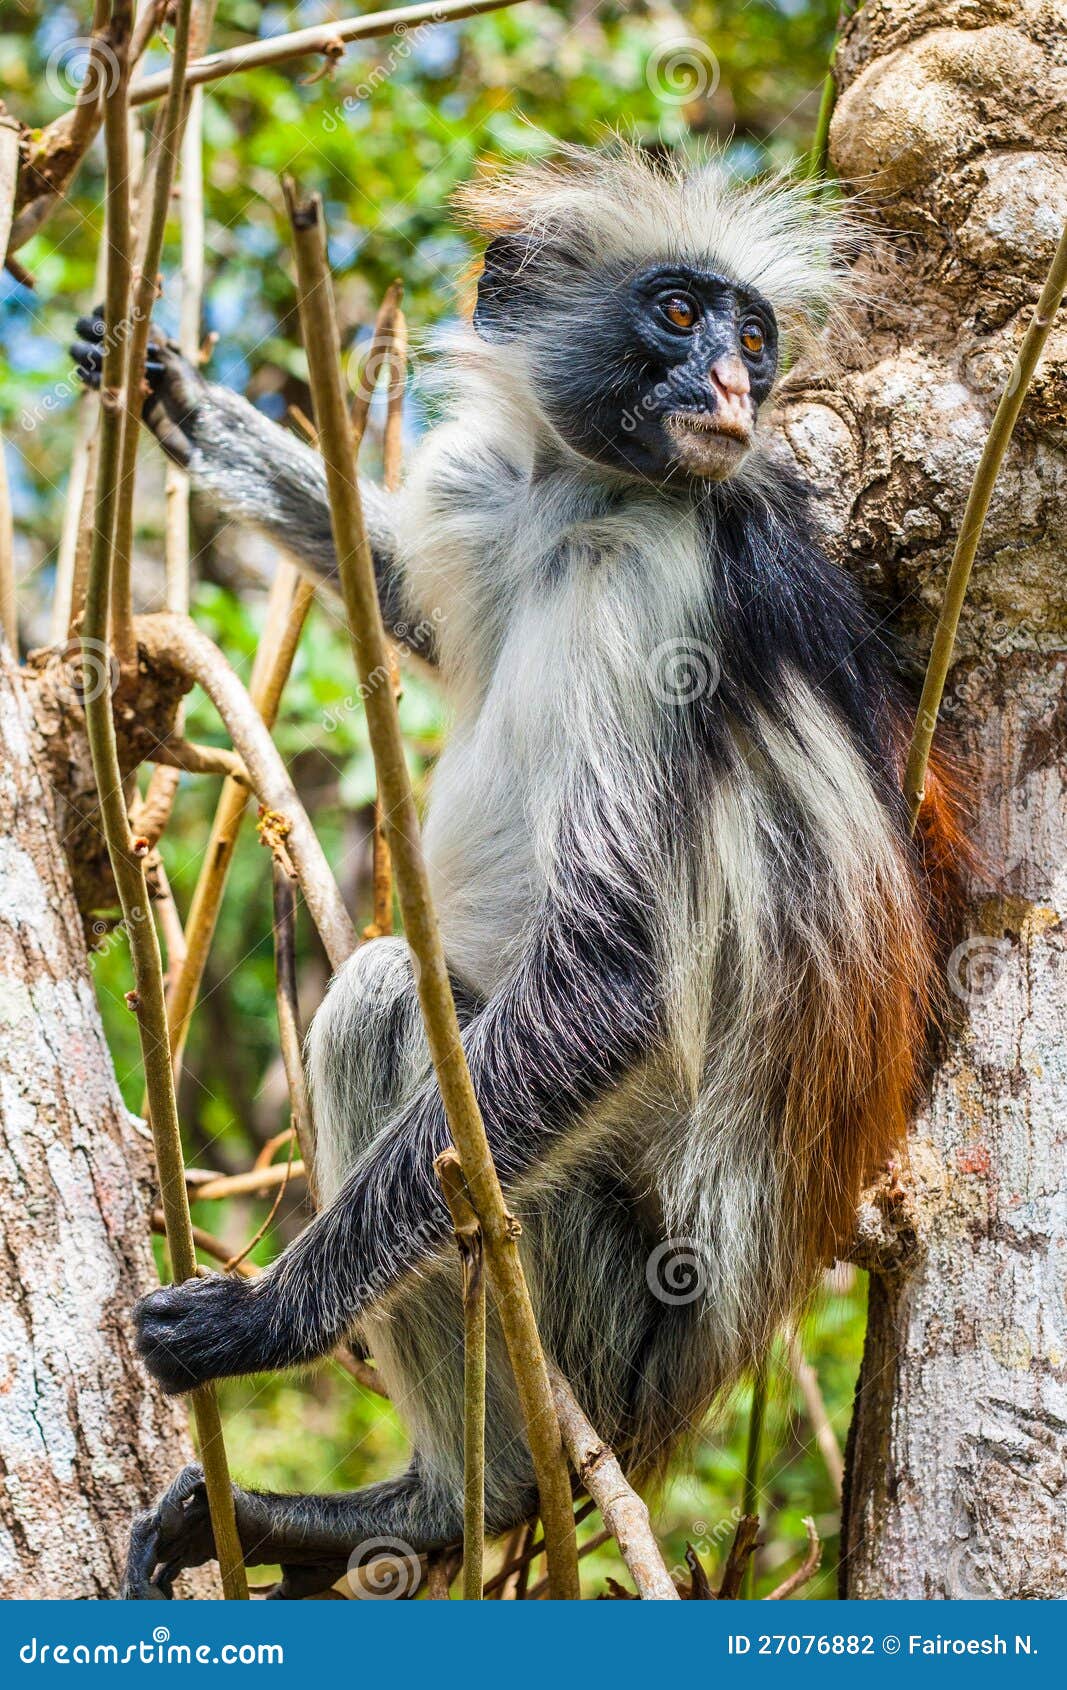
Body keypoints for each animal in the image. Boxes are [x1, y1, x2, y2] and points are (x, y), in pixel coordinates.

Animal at [72, 143, 963, 1599]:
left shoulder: (665, 590)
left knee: (386, 998)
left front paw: (271, 1317)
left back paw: (445, 1503)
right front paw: (175, 393)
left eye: (751, 340)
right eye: (679, 315)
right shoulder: (486, 494)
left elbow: (611, 978)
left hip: (598, 1305)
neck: (582, 496)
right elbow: (405, 595)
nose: (733, 389)